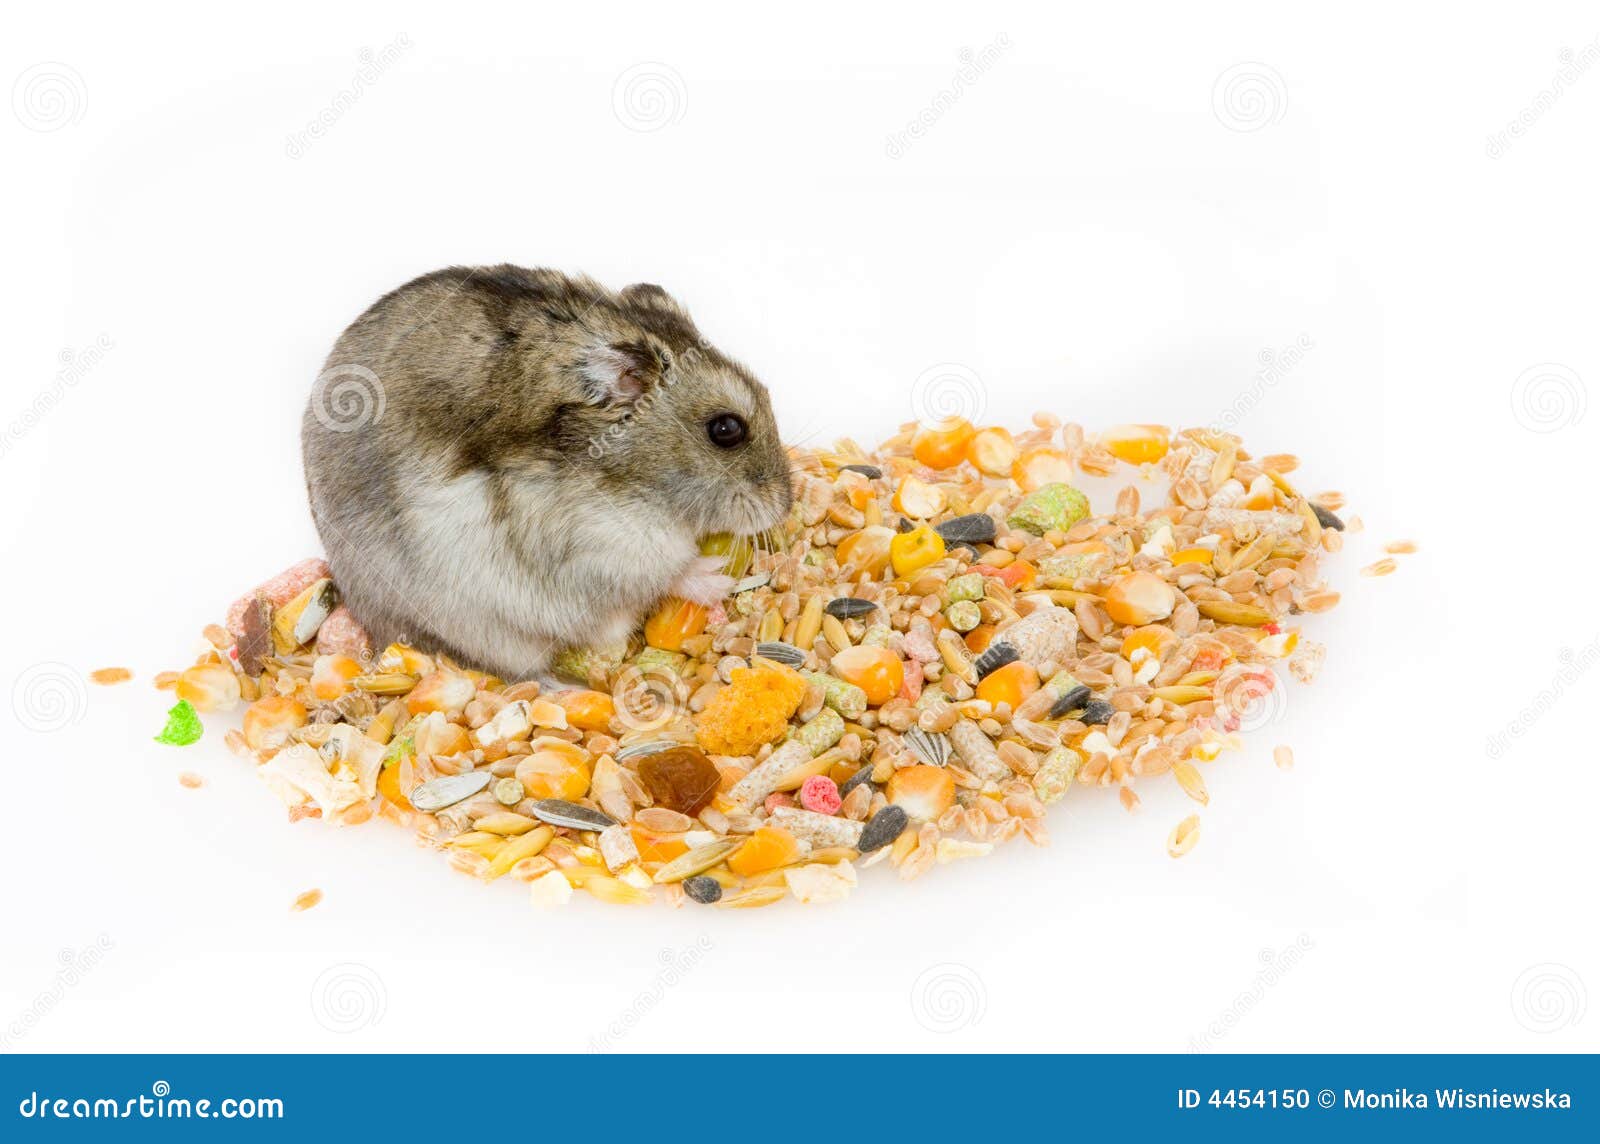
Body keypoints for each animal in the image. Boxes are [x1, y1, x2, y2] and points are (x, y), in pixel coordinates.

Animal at [301, 264, 793, 682]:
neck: (637, 482)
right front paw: (717, 578)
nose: (785, 507)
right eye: (726, 429)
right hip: (481, 630)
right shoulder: (602, 548)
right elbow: (668, 569)